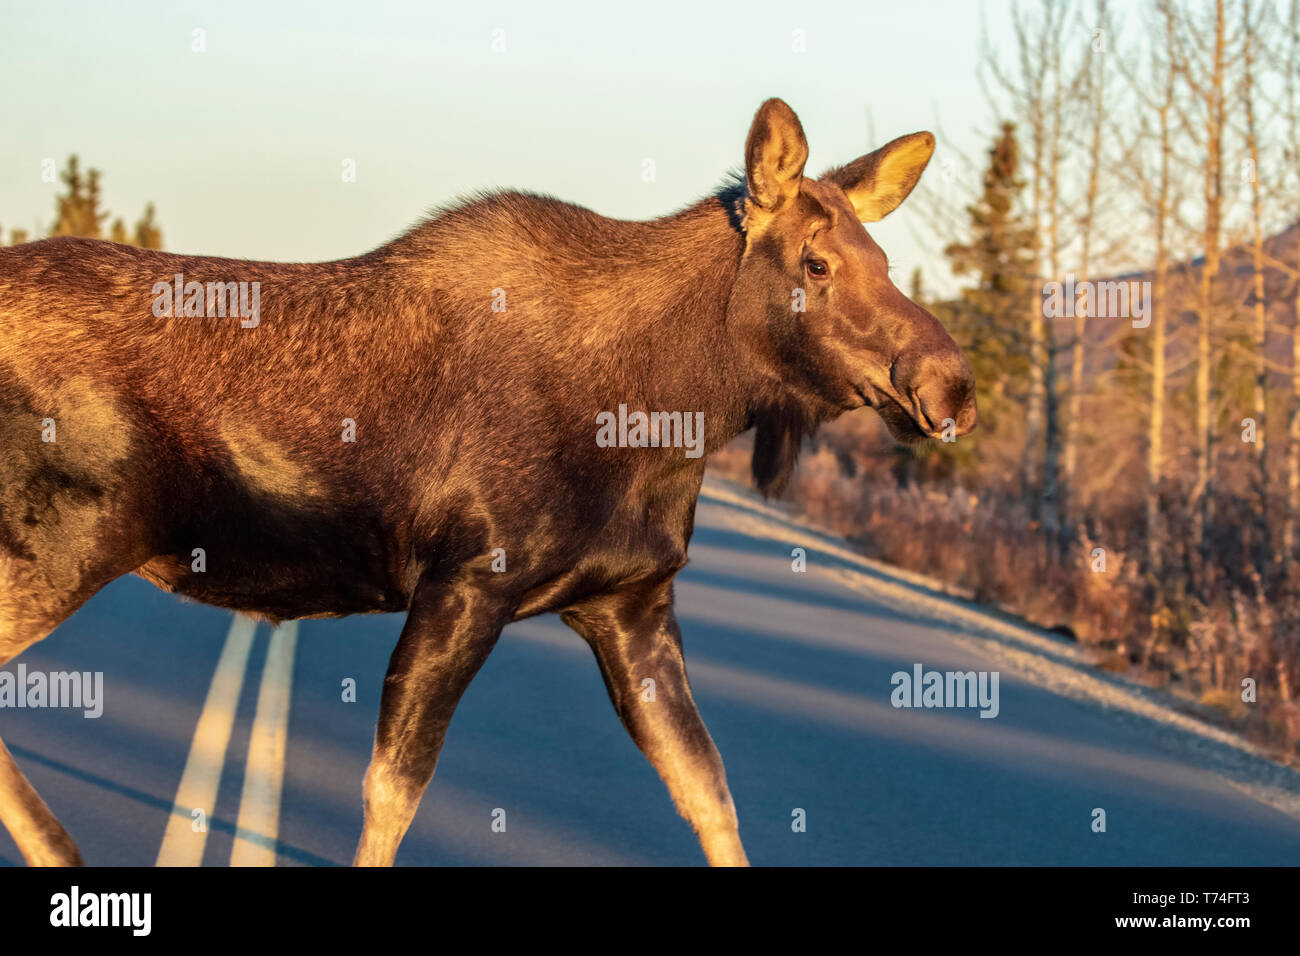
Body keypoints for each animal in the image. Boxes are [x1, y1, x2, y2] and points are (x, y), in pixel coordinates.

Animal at [0, 98, 975, 867]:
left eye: (889, 263)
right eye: (817, 264)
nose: (950, 382)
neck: (674, 410)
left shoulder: (631, 605)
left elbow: (709, 792)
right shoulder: (466, 584)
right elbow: (393, 793)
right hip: (58, 549)